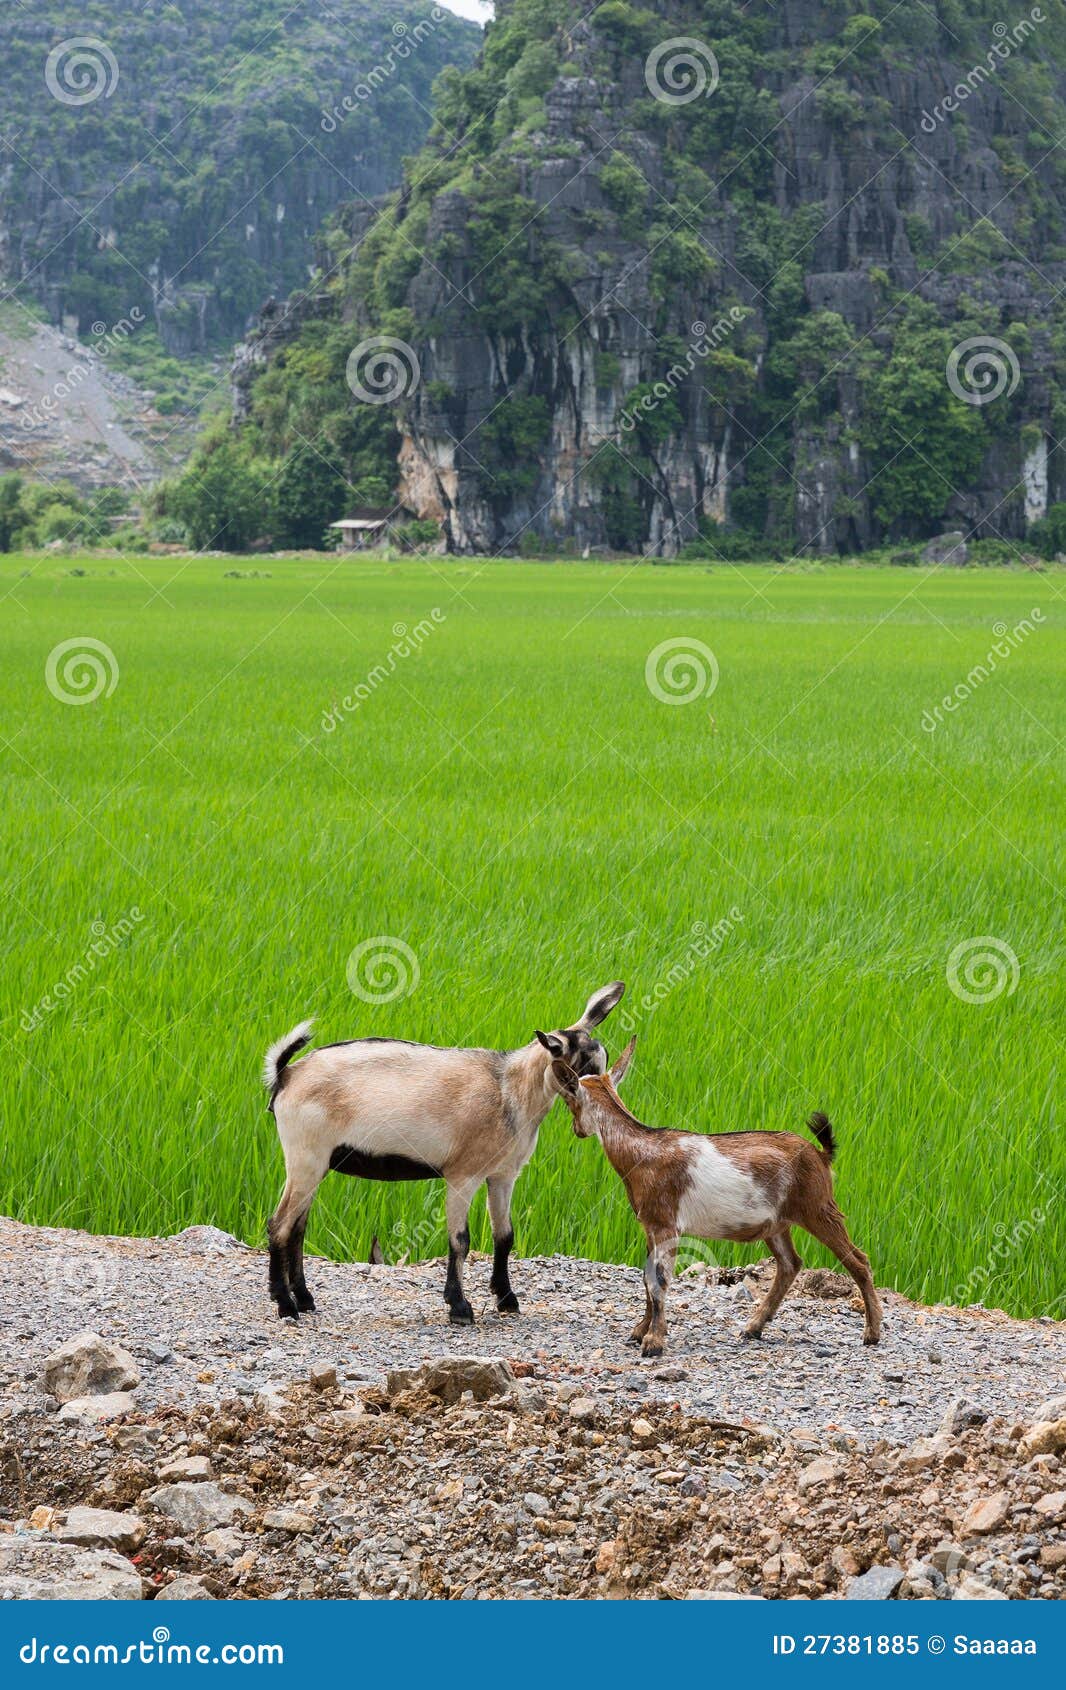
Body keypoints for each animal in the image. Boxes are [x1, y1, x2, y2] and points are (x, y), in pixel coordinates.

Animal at [262, 982, 625, 1323]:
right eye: (578, 1068)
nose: (603, 1113)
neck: (510, 1090)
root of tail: (286, 1075)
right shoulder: (463, 1174)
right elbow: (460, 1239)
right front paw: (460, 1307)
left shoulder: (503, 1175)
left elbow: (504, 1236)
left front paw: (507, 1299)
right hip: (305, 1157)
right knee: (279, 1224)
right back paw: (285, 1305)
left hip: (316, 1163)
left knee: (297, 1228)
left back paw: (304, 1299)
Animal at [550, 1038, 881, 1355]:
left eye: (568, 1099)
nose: (577, 1130)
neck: (642, 1152)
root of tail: (820, 1155)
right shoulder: (649, 1226)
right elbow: (646, 1279)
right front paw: (640, 1331)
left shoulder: (665, 1223)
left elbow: (659, 1280)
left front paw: (653, 1343)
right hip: (778, 1223)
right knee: (790, 1264)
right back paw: (753, 1327)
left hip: (818, 1207)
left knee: (858, 1261)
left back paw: (872, 1333)